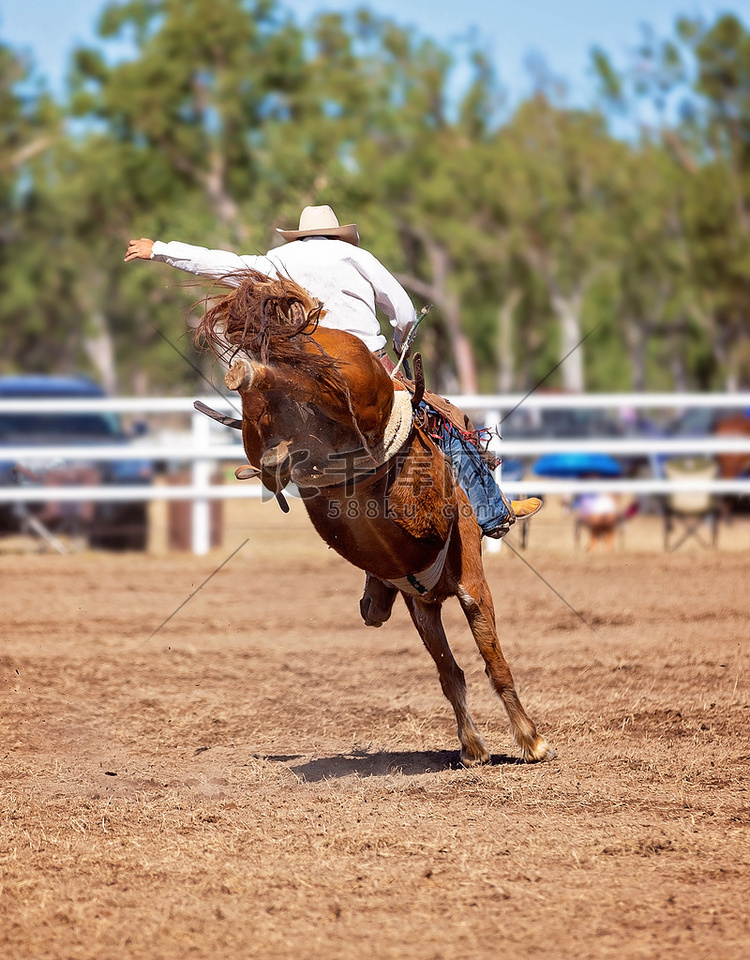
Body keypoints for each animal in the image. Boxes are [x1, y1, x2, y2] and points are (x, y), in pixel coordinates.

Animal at [196, 270, 554, 766]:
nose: (369, 608)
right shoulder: (471, 586)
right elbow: (492, 664)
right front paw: (530, 740)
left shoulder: (421, 605)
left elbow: (451, 674)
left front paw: (472, 746)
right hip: (352, 396)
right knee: (309, 390)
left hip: (268, 419)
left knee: (278, 393)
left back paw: (262, 409)